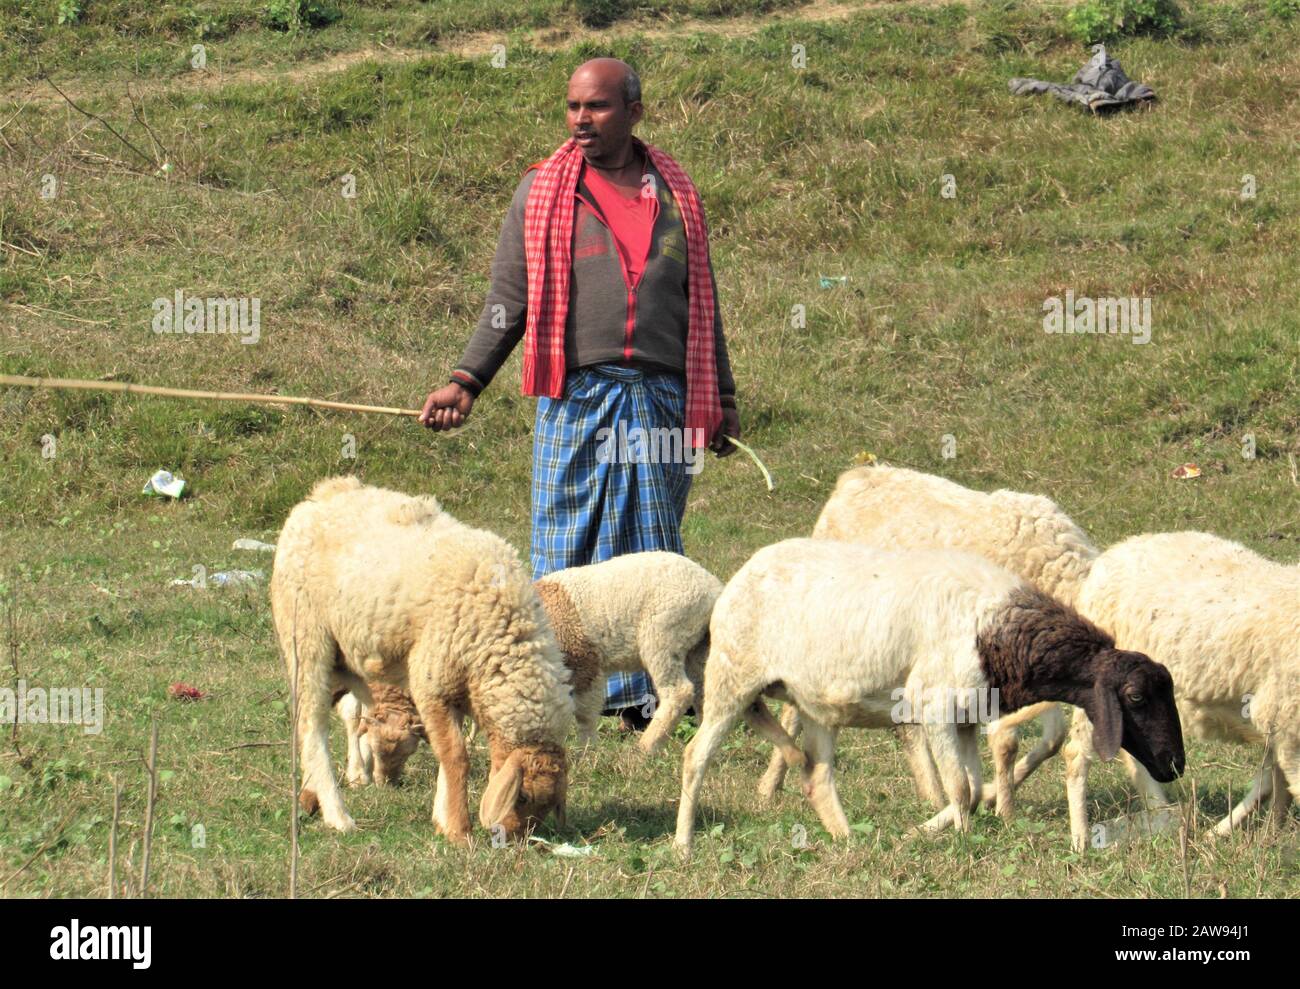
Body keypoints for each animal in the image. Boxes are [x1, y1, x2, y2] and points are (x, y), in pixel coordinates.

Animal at [270, 476, 574, 843]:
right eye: (523, 795)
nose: (512, 840)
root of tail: (322, 493)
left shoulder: (454, 688)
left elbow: (448, 752)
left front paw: (442, 819)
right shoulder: (432, 681)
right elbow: (455, 755)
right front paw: (458, 829)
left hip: (341, 657)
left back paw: (312, 794)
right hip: (306, 640)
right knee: (313, 728)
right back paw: (338, 815)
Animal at [332, 551, 722, 786]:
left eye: (400, 746)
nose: (385, 785)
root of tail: (712, 587)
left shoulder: (584, 664)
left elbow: (584, 715)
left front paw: (588, 754)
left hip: (662, 634)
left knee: (678, 693)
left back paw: (646, 747)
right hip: (698, 646)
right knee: (705, 692)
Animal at [674, 538, 1185, 855]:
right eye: (1136, 697)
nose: (1175, 764)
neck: (999, 631)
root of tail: (745, 571)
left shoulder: (966, 717)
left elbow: (974, 789)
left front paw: (921, 834)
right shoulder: (935, 706)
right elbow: (959, 788)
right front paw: (961, 844)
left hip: (817, 705)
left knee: (816, 777)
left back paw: (851, 843)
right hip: (732, 678)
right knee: (695, 755)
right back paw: (683, 845)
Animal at [760, 464, 1100, 819]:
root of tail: (856, 476)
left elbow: (1053, 738)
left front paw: (992, 795)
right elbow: (1006, 741)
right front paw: (1004, 809)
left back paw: (933, 797)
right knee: (796, 709)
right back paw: (769, 788)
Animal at [1063, 531, 1299, 850]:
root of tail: (1121, 548)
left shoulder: (1279, 722)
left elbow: (1272, 782)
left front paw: (1260, 834)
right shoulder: (1285, 720)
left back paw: (1162, 812)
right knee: (1075, 752)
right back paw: (1082, 838)